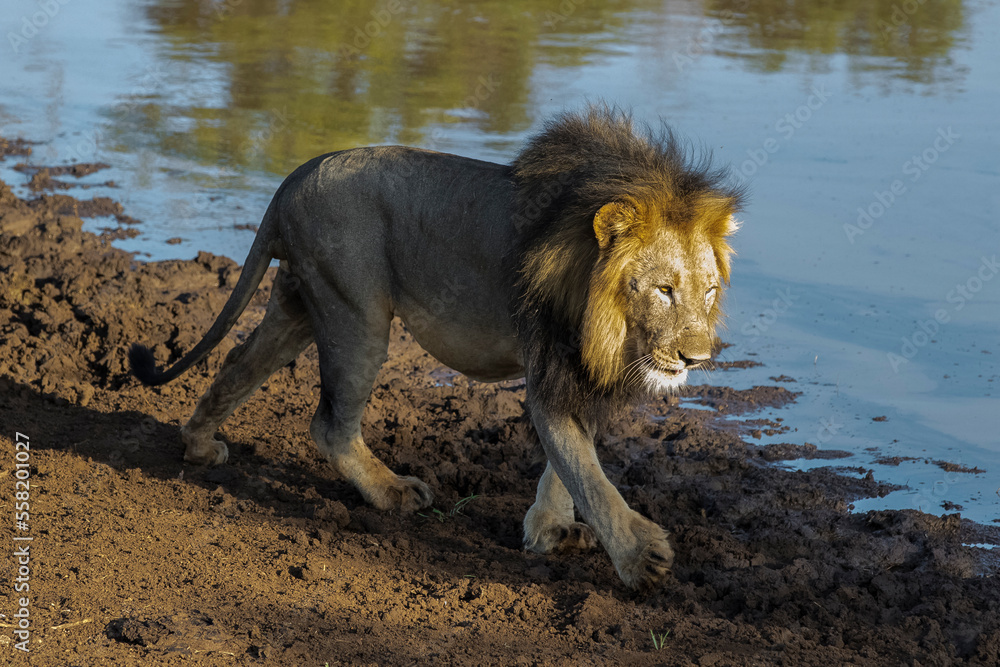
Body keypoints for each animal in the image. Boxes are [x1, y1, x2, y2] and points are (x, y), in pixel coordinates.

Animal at [129, 105, 744, 590]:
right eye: (664, 289)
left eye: (709, 291)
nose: (697, 358)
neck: (605, 314)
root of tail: (296, 177)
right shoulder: (549, 369)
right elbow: (588, 475)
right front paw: (642, 558)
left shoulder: (578, 374)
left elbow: (569, 464)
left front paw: (547, 532)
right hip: (358, 313)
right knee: (329, 425)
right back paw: (392, 493)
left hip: (300, 303)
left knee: (238, 363)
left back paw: (198, 444)